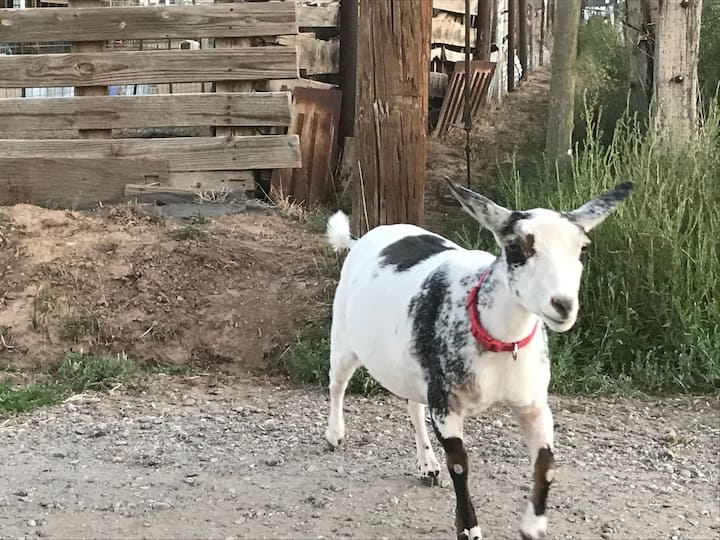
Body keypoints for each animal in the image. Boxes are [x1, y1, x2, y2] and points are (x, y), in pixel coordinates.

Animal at [323, 178, 633, 540]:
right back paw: (334, 435)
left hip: (412, 366)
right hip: (344, 340)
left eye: (582, 249)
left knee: (413, 406)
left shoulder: (532, 402)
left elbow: (546, 465)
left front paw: (533, 525)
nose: (562, 305)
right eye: (515, 248)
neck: (497, 339)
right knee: (337, 384)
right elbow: (460, 465)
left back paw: (427, 465)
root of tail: (361, 239)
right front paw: (469, 528)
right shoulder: (446, 404)